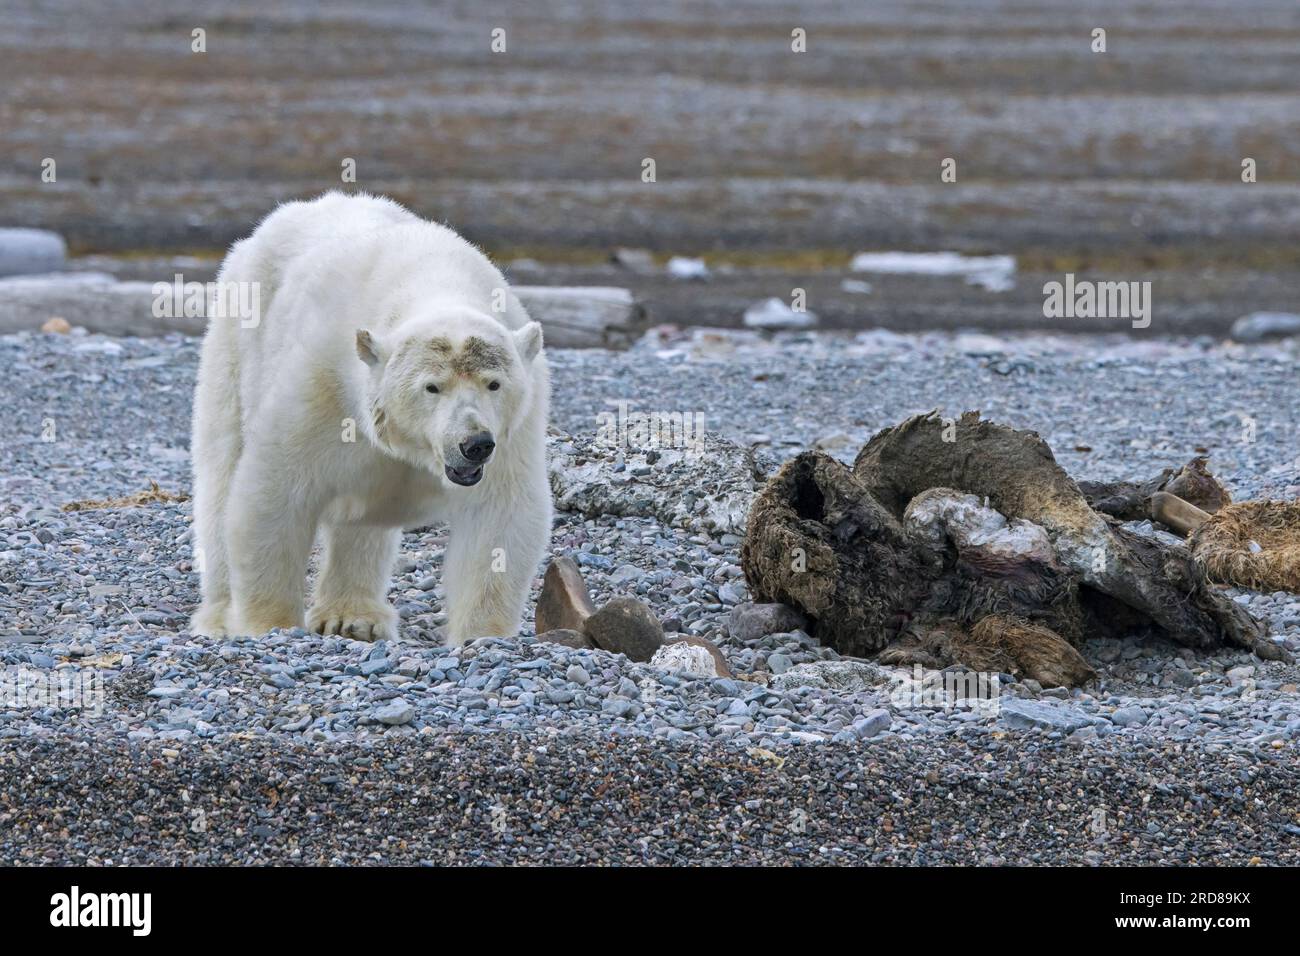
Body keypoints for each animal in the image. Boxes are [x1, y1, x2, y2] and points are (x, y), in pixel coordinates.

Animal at [188, 191, 552, 645]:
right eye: (432, 387)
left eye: (494, 383)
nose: (474, 444)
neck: (429, 276)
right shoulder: (322, 383)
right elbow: (274, 492)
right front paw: (272, 624)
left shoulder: (515, 426)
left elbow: (500, 514)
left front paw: (481, 636)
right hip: (239, 333)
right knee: (222, 464)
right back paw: (221, 616)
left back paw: (353, 617)